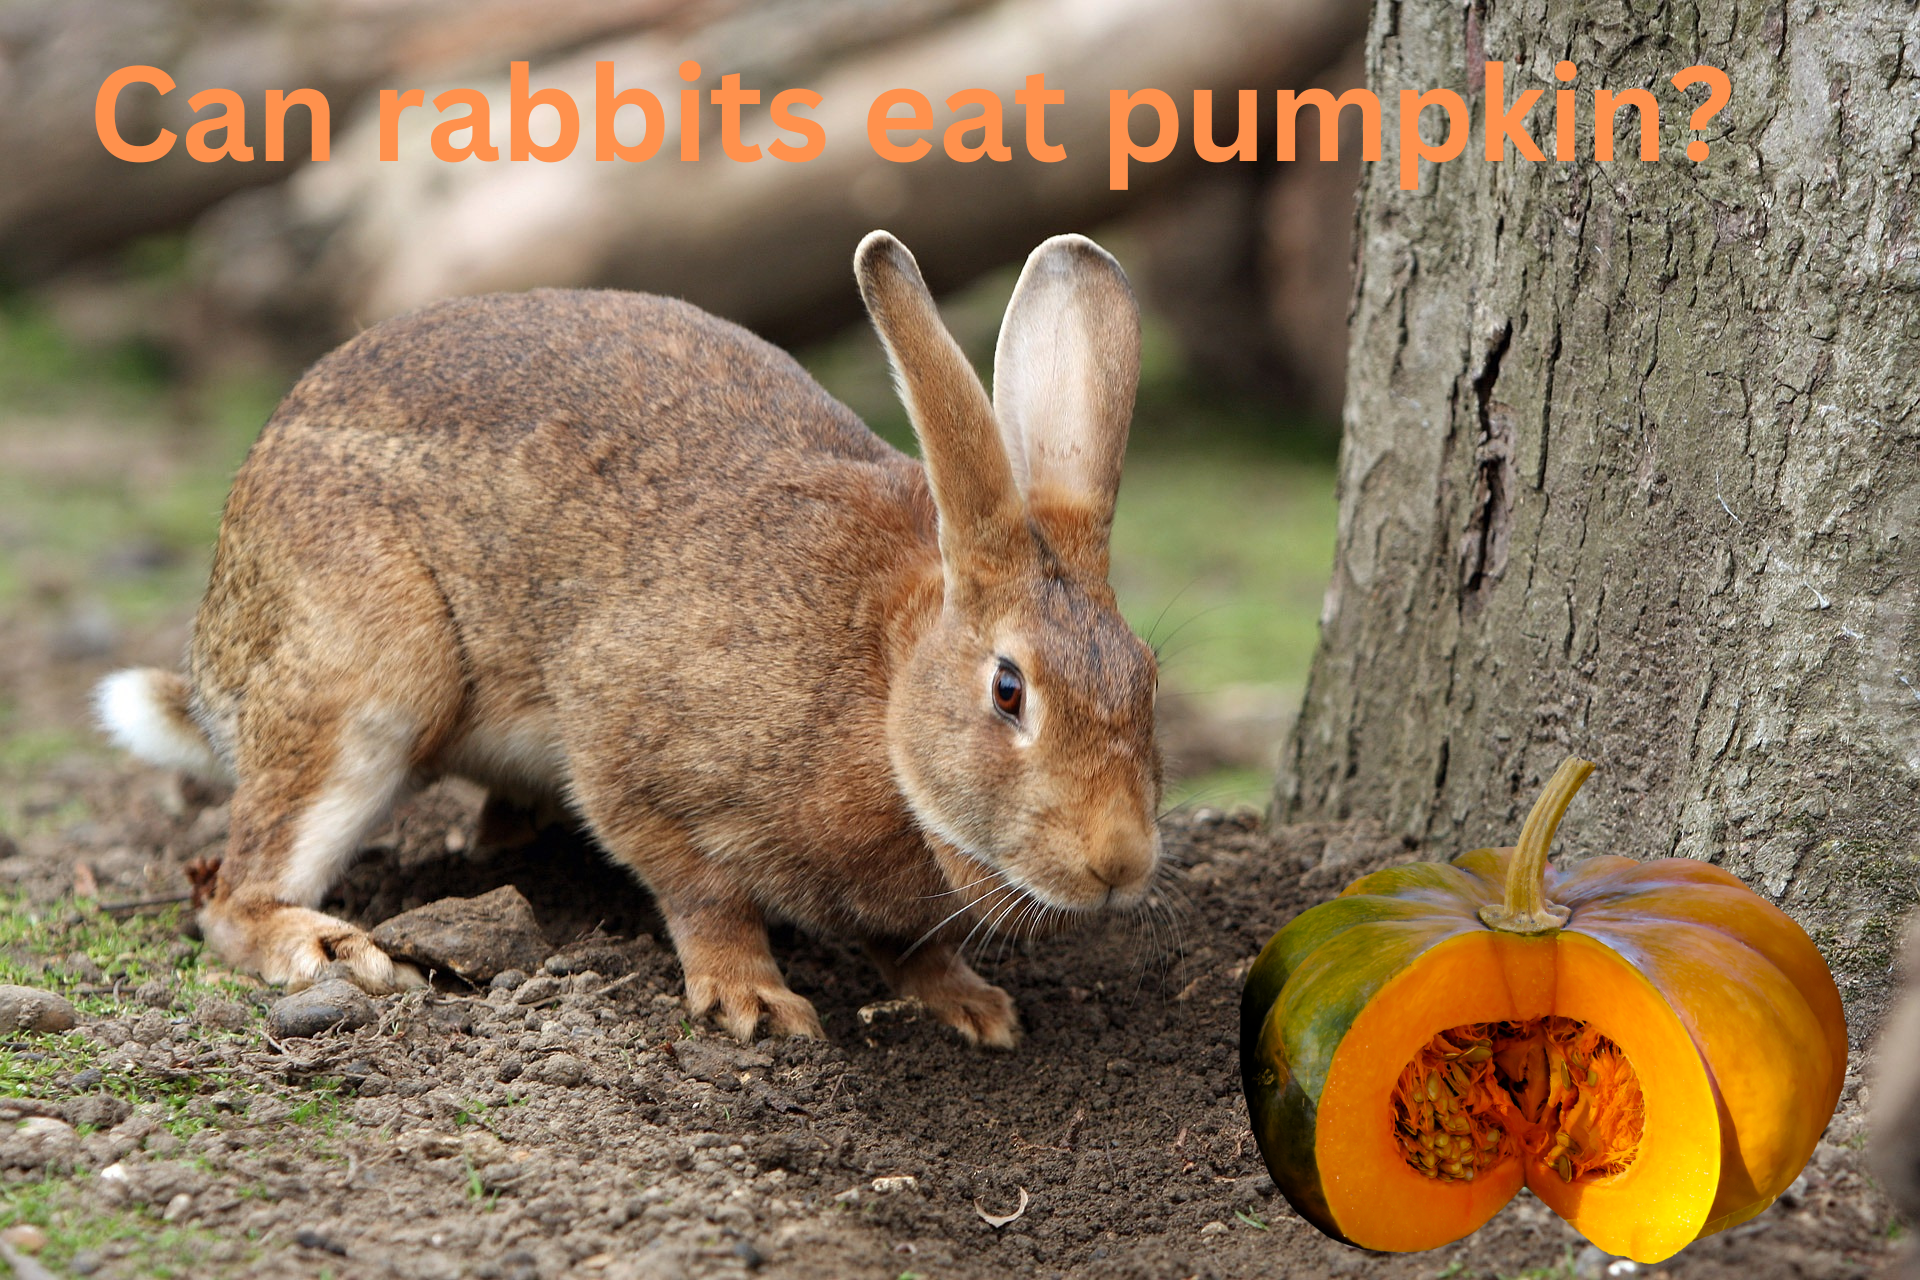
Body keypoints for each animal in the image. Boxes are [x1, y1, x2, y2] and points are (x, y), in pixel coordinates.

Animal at [94, 230, 1163, 1047]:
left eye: (1148, 680)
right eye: (1010, 690)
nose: (1120, 862)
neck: (885, 682)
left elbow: (912, 947)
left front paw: (974, 1008)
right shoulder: (632, 754)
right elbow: (702, 894)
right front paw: (756, 1002)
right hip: (366, 681)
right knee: (232, 890)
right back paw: (328, 948)